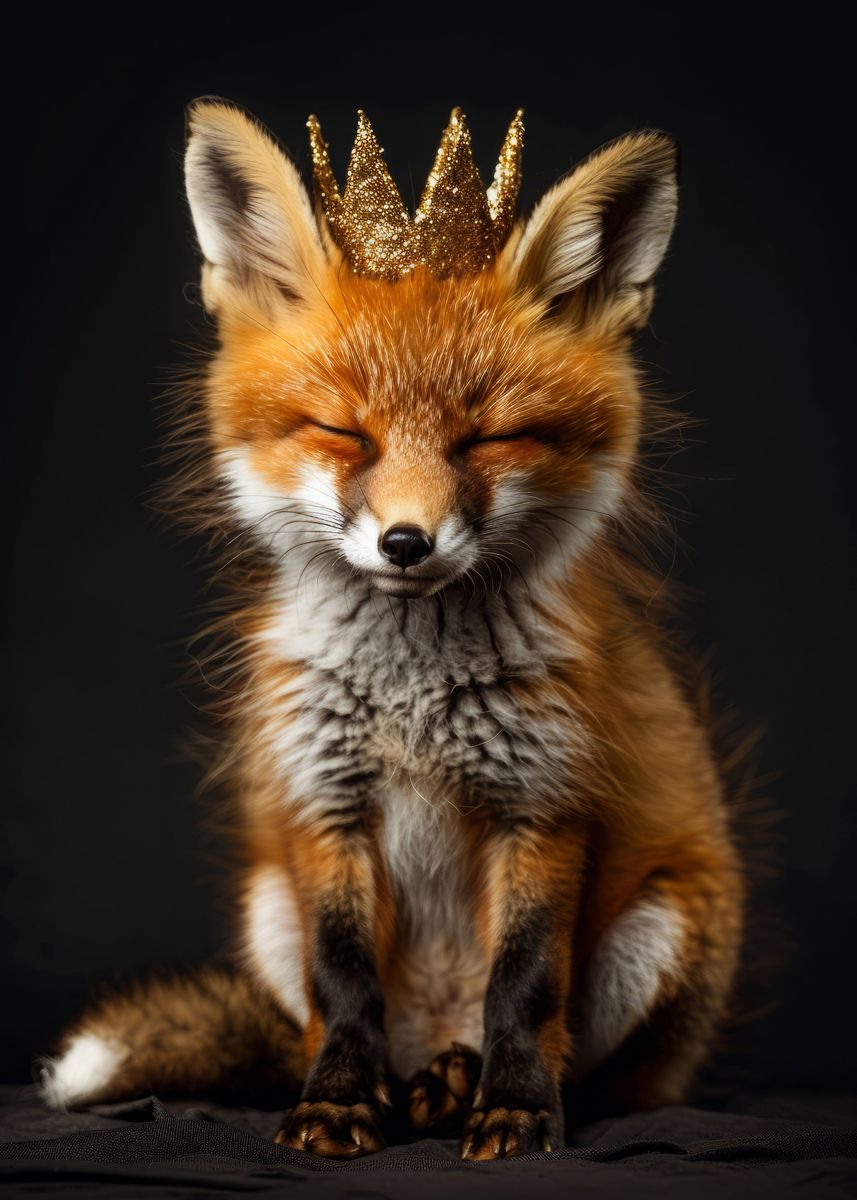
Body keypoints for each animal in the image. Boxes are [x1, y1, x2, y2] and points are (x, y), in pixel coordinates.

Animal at [39, 100, 744, 1160]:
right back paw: (408, 1089)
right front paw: (337, 1103)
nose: (406, 542)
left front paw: (516, 1109)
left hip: (658, 932)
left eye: (488, 440)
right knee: (326, 1030)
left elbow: (525, 985)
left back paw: (459, 1087)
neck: (413, 702)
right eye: (345, 433)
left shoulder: (543, 804)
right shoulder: (324, 802)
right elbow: (343, 985)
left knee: (585, 1064)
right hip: (267, 908)